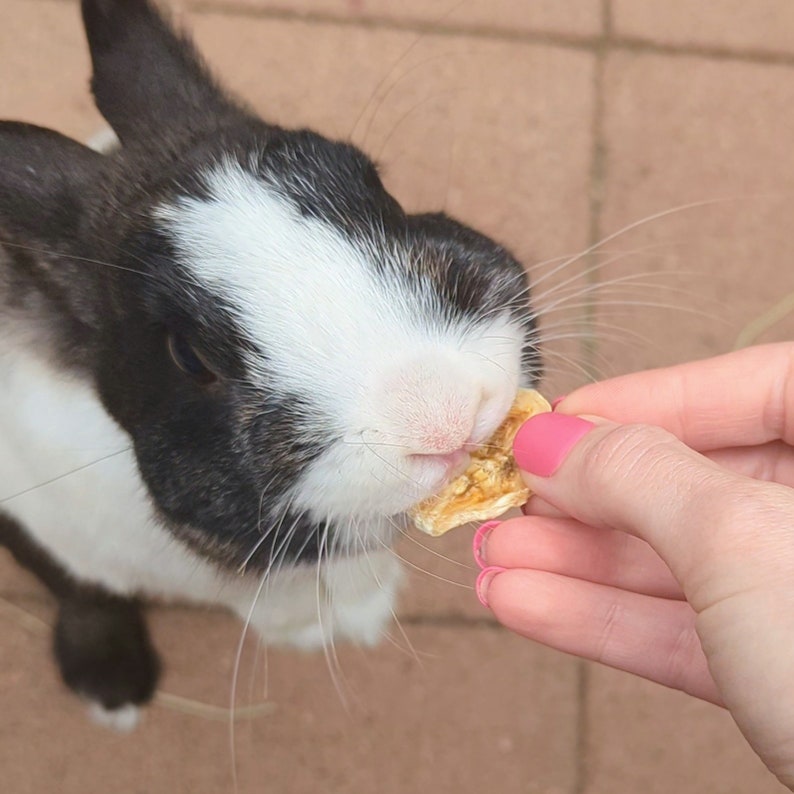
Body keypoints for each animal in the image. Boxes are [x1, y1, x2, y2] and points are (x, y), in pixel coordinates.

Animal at [0, 0, 541, 729]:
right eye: (189, 356)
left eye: (376, 187)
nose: (445, 413)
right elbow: (78, 590)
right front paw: (113, 685)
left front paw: (363, 611)